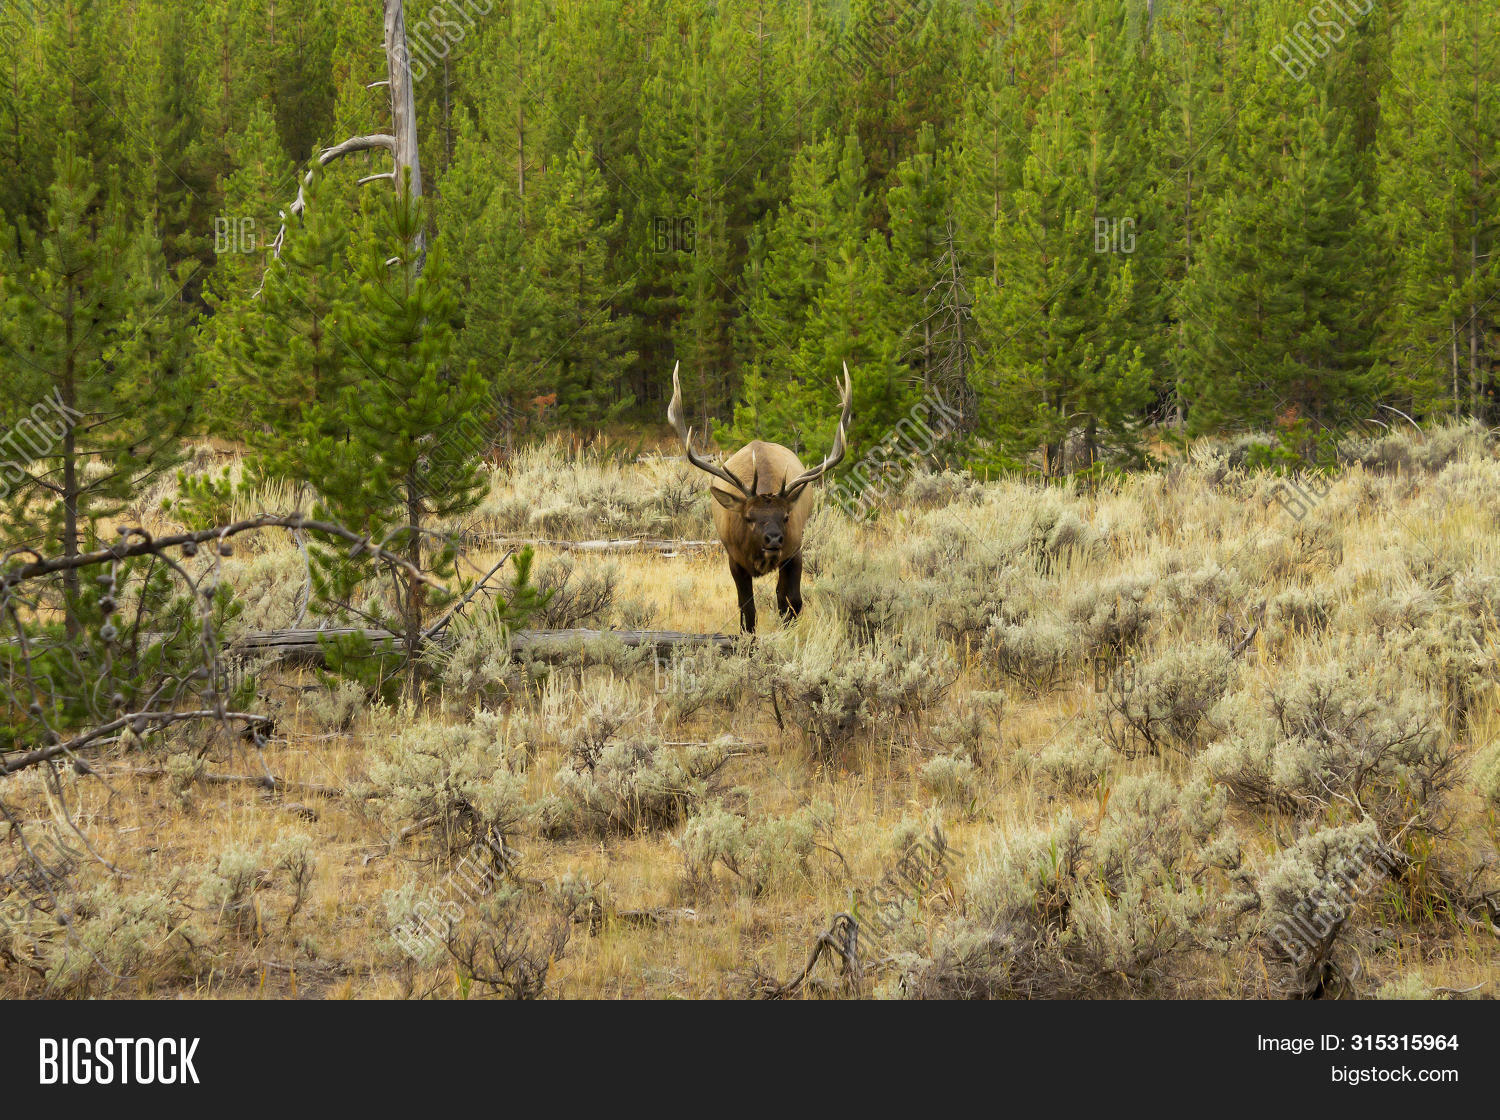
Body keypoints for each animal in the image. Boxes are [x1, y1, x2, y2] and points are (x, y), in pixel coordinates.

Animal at [667, 361, 853, 633]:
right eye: (749, 517)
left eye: (785, 516)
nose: (773, 538)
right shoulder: (734, 560)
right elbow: (748, 611)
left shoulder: (794, 551)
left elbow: (792, 601)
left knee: (781, 595)